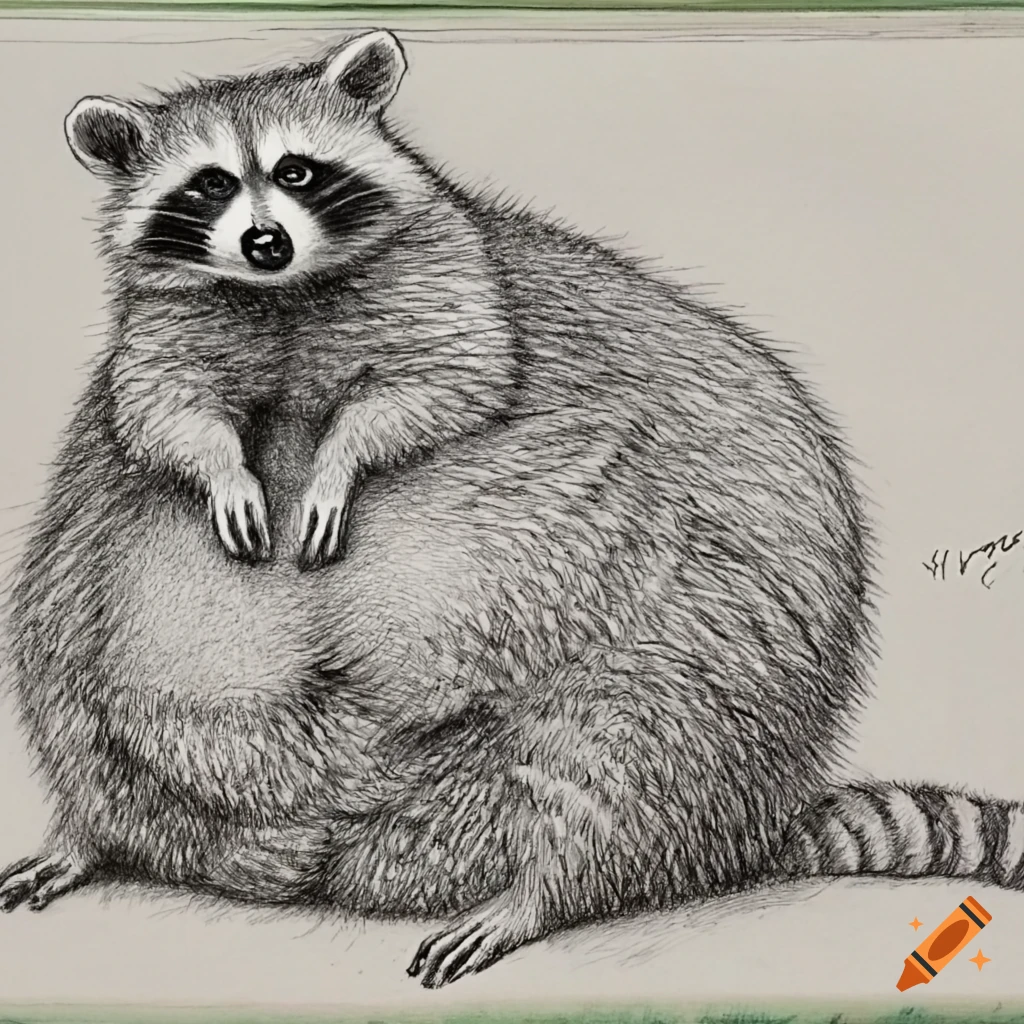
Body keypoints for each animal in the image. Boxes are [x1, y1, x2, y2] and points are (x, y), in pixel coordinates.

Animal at [2, 28, 1023, 990]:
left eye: (297, 171)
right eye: (209, 184)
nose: (265, 243)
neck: (284, 298)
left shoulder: (456, 284)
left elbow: (455, 383)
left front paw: (340, 461)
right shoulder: (160, 335)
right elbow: (156, 415)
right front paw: (226, 472)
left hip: (697, 644)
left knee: (616, 771)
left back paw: (536, 893)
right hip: (86, 604)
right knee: (69, 682)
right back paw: (89, 833)